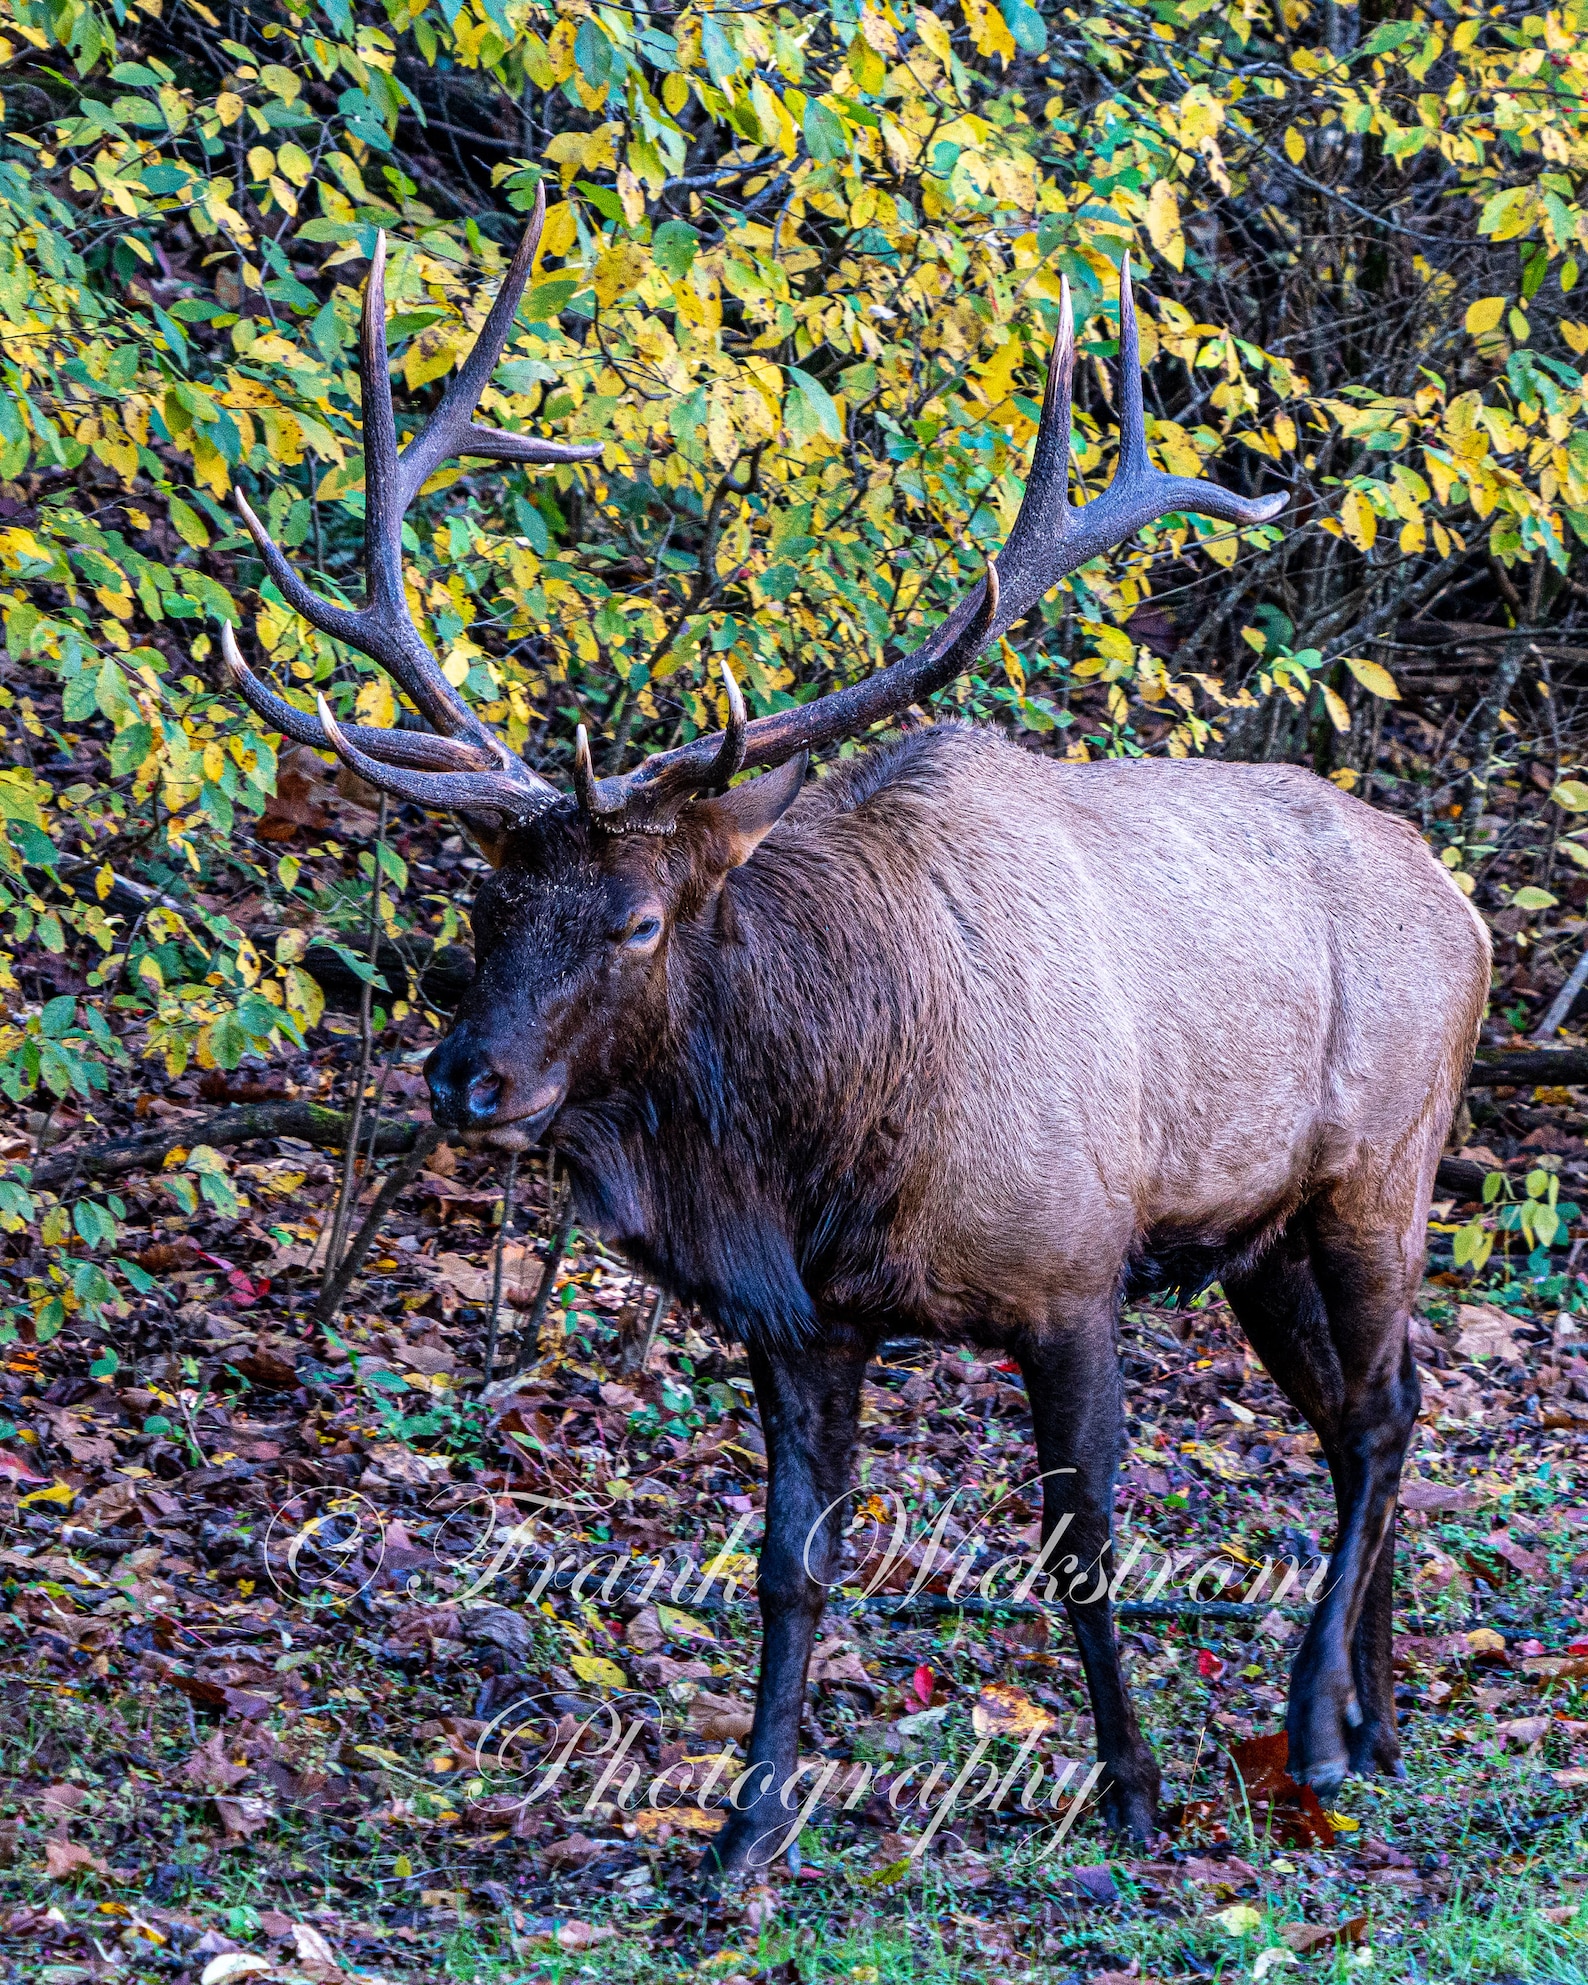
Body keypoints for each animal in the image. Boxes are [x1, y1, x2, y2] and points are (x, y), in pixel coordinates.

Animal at [223, 187, 1491, 1875]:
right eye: (486, 903)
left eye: (639, 917)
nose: (465, 1078)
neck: (832, 1152)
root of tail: (1468, 908)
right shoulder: (805, 1318)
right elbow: (789, 1563)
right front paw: (745, 1832)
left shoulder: (1072, 1267)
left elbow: (1083, 1536)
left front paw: (1134, 1793)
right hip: (1260, 1236)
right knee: (1374, 1406)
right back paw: (1381, 1716)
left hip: (1379, 1169)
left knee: (1385, 1416)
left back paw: (1318, 1729)